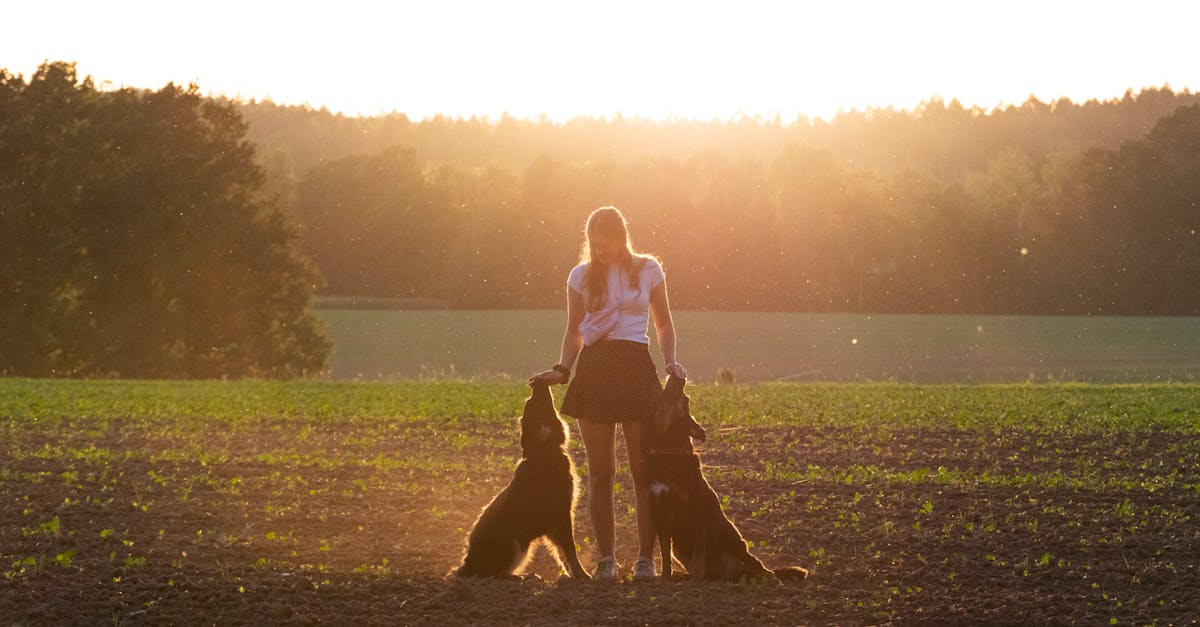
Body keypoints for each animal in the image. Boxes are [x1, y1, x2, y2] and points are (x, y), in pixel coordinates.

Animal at [451, 374, 590, 576]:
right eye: (532, 402)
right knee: (494, 574)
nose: (536, 381)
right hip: (514, 541)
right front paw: (582, 575)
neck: (544, 451)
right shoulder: (560, 515)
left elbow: (562, 554)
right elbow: (569, 550)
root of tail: (468, 563)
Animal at [648, 369, 806, 581]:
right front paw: (665, 577)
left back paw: (768, 578)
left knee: (762, 568)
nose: (681, 376)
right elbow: (665, 555)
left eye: (686, 398)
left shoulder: (698, 514)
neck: (669, 452)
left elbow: (699, 557)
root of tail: (730, 572)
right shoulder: (661, 516)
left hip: (735, 542)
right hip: (680, 549)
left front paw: (695, 582)